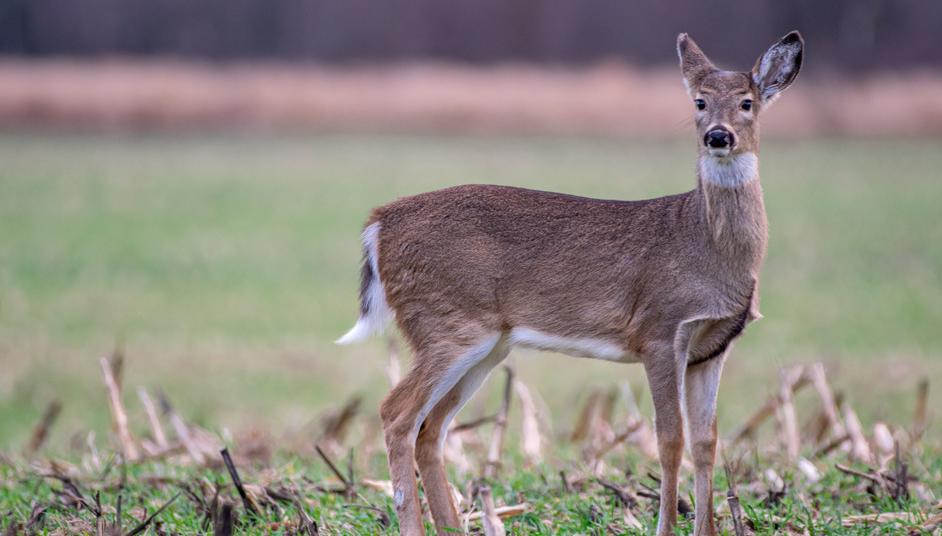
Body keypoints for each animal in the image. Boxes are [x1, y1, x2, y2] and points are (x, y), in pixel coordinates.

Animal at [337, 31, 803, 536]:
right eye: (698, 101)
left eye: (747, 102)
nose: (718, 136)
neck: (706, 245)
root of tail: (378, 224)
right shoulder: (660, 331)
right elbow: (669, 440)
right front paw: (665, 526)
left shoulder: (712, 346)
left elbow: (706, 442)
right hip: (446, 322)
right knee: (397, 414)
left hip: (486, 344)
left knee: (431, 428)